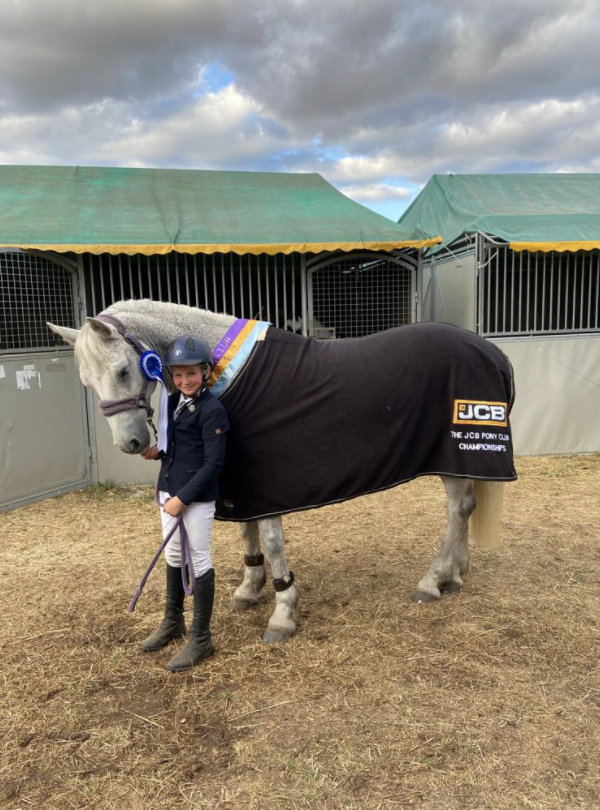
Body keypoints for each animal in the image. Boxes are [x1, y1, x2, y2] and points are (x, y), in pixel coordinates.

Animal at [49, 298, 516, 643]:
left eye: (124, 369)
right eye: (87, 381)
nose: (130, 443)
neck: (225, 371)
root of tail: (492, 351)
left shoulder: (268, 483)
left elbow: (272, 543)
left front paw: (282, 612)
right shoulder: (240, 481)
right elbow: (247, 533)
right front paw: (248, 590)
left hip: (457, 453)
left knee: (458, 510)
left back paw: (432, 581)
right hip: (454, 459)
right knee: (465, 508)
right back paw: (455, 574)